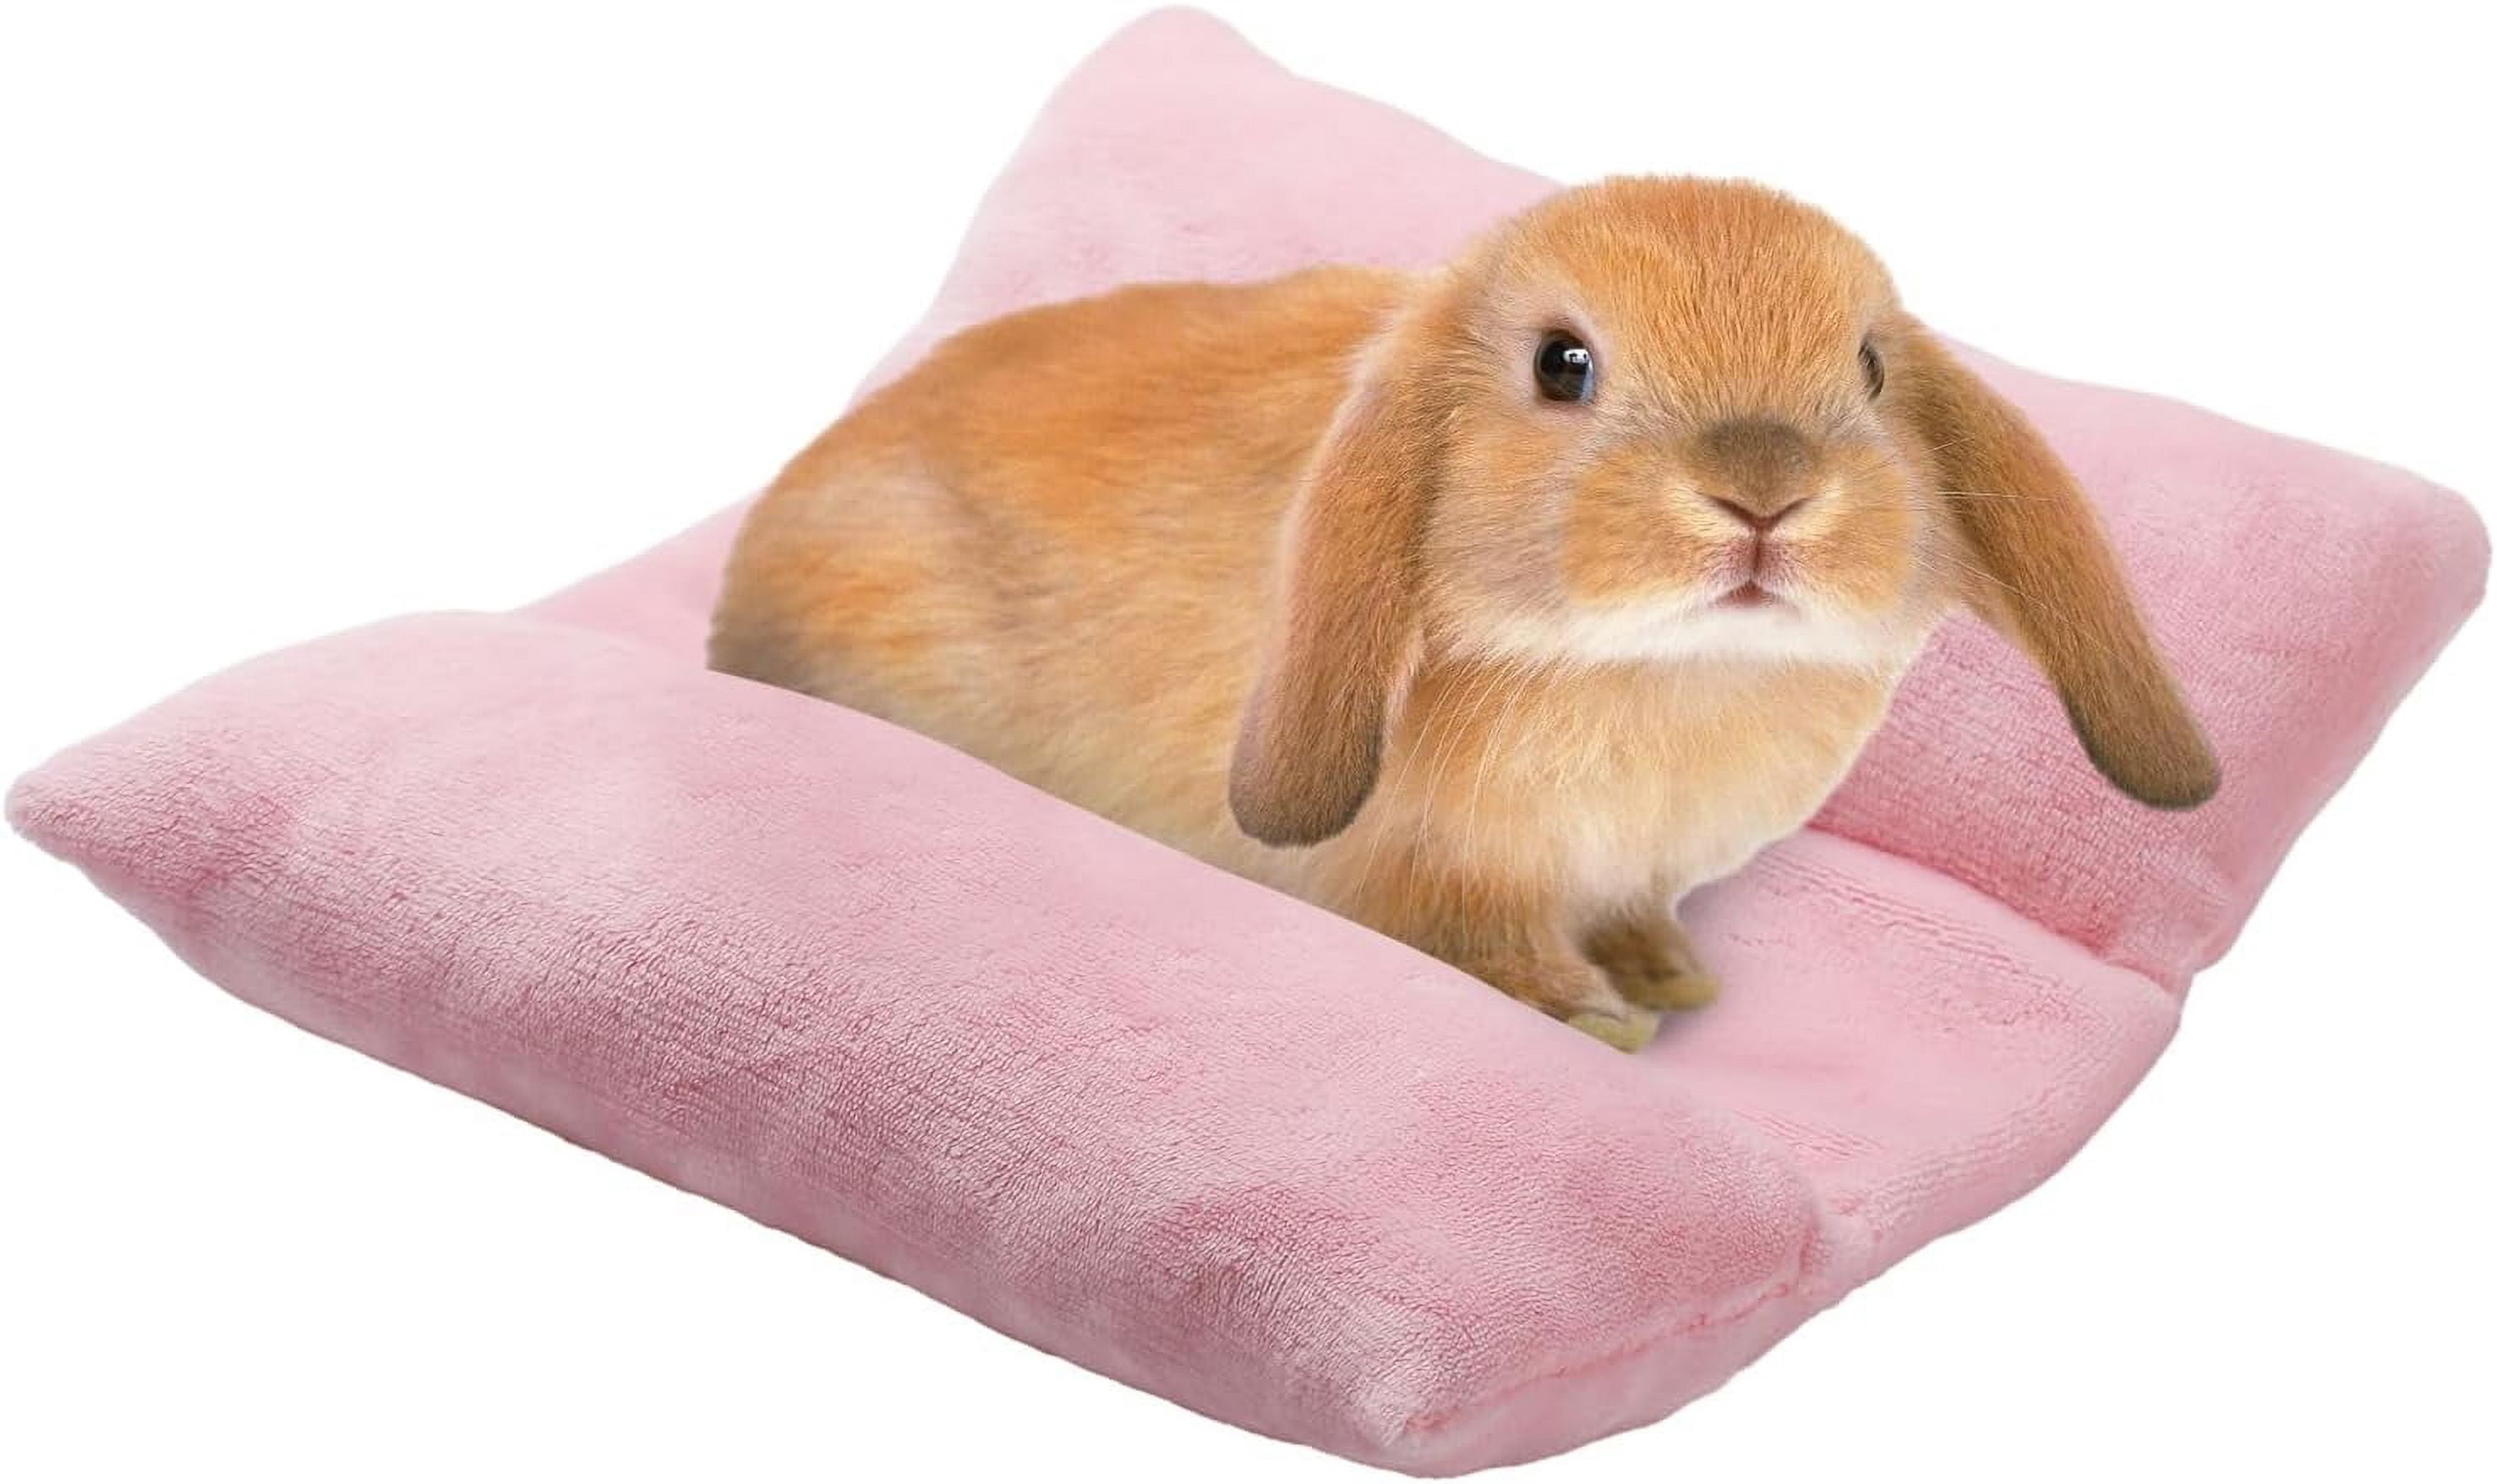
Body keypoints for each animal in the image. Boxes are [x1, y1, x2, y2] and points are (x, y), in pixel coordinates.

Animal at [709, 176, 2218, 1052]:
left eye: (1868, 368)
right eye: (1562, 366)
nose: (1763, 493)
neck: (1664, 675)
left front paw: (1669, 980)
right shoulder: (1442, 878)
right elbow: (1482, 944)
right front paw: (1596, 1017)